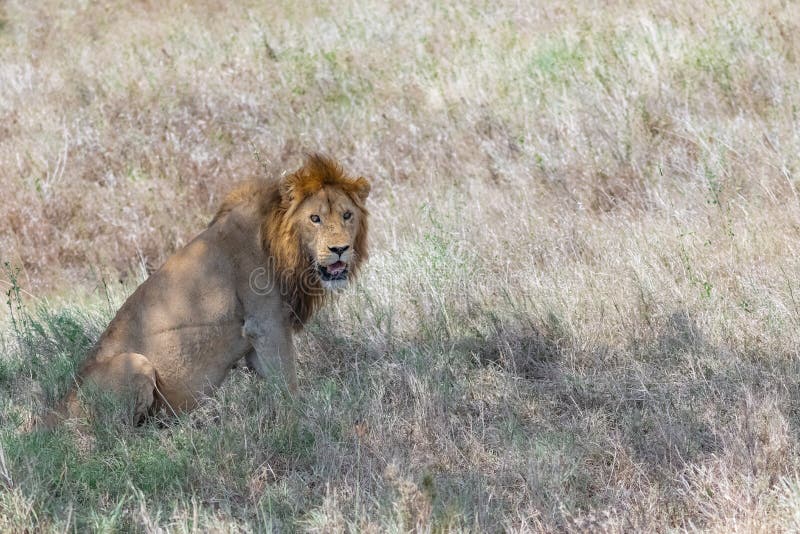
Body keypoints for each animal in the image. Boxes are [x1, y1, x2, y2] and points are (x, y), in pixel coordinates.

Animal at [46, 154, 370, 425]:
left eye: (347, 215)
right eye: (314, 218)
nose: (339, 249)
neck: (285, 246)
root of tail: (52, 416)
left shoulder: (256, 340)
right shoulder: (266, 323)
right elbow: (288, 382)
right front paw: (301, 421)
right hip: (136, 363)